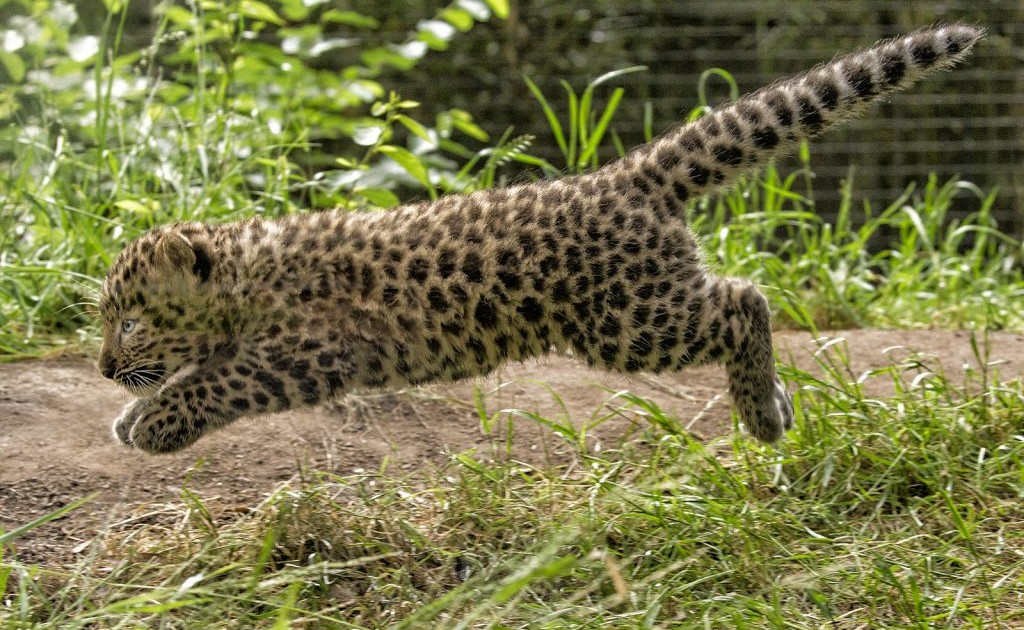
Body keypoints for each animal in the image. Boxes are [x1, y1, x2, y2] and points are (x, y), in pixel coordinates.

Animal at [98, 24, 983, 454]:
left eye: (132, 321)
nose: (103, 368)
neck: (249, 278)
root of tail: (623, 177)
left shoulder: (311, 349)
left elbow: (220, 382)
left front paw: (157, 427)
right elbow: (198, 373)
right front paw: (133, 415)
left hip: (630, 321)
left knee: (745, 300)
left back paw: (762, 414)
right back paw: (776, 405)